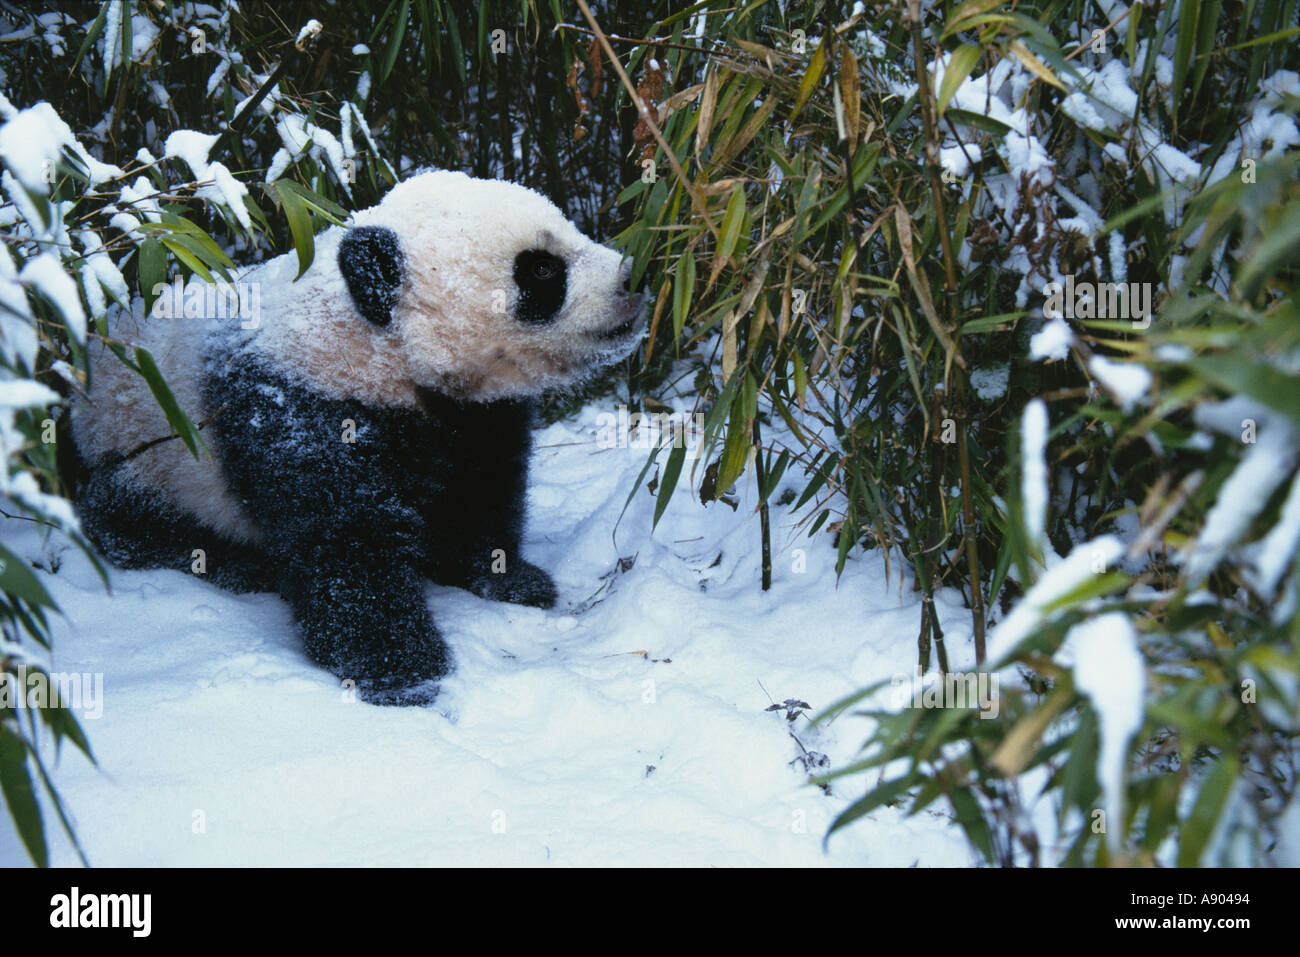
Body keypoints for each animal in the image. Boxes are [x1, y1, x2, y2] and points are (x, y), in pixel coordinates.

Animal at [72, 170, 646, 705]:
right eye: (541, 268)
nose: (632, 275)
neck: (374, 349)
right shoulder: (297, 409)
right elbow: (348, 545)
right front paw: (404, 671)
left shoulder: (470, 416)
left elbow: (478, 490)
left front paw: (511, 580)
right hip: (145, 452)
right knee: (135, 524)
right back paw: (239, 564)